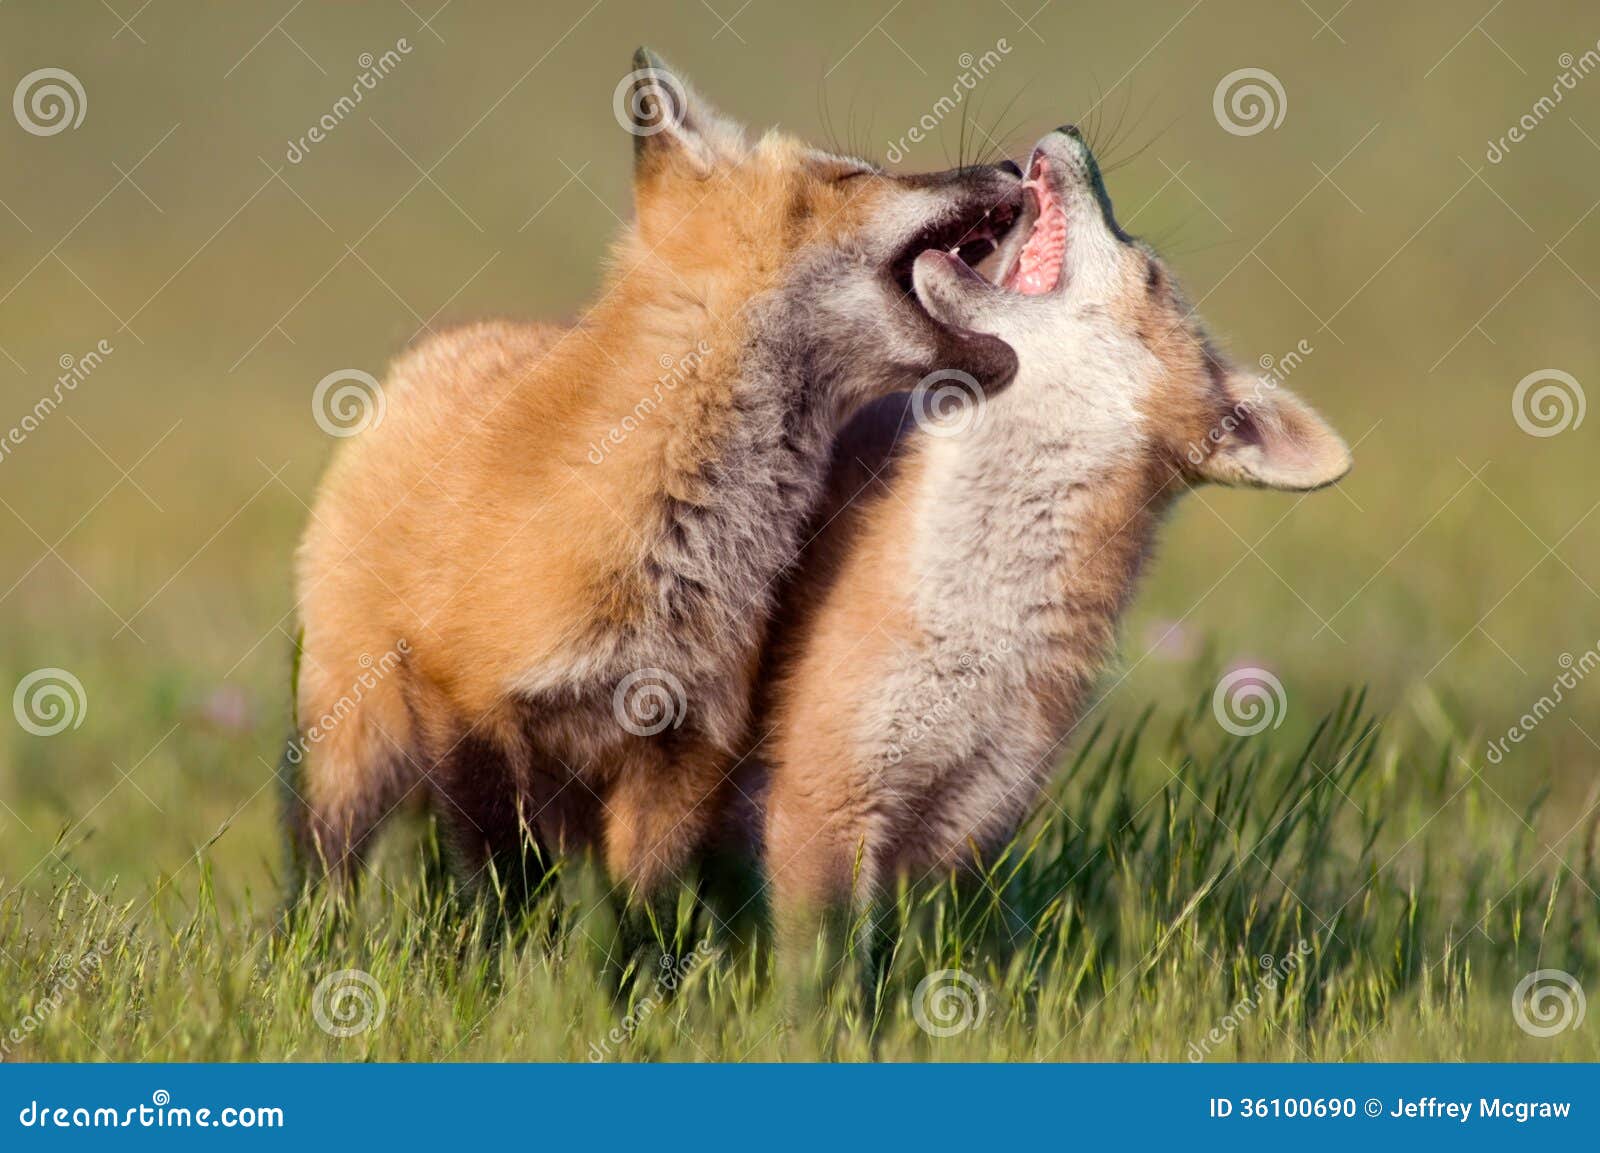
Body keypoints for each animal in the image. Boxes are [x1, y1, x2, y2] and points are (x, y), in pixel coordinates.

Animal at [283, 49, 1026, 903]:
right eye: (850, 176)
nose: (1014, 165)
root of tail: (439, 347)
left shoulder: (686, 745)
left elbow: (642, 910)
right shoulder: (462, 699)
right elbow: (505, 879)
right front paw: (501, 943)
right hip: (353, 736)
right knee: (326, 854)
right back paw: (315, 921)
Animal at [744, 126, 1352, 954]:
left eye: (1150, 274)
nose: (1069, 132)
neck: (976, 635)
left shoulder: (964, 824)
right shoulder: (823, 798)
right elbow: (821, 975)